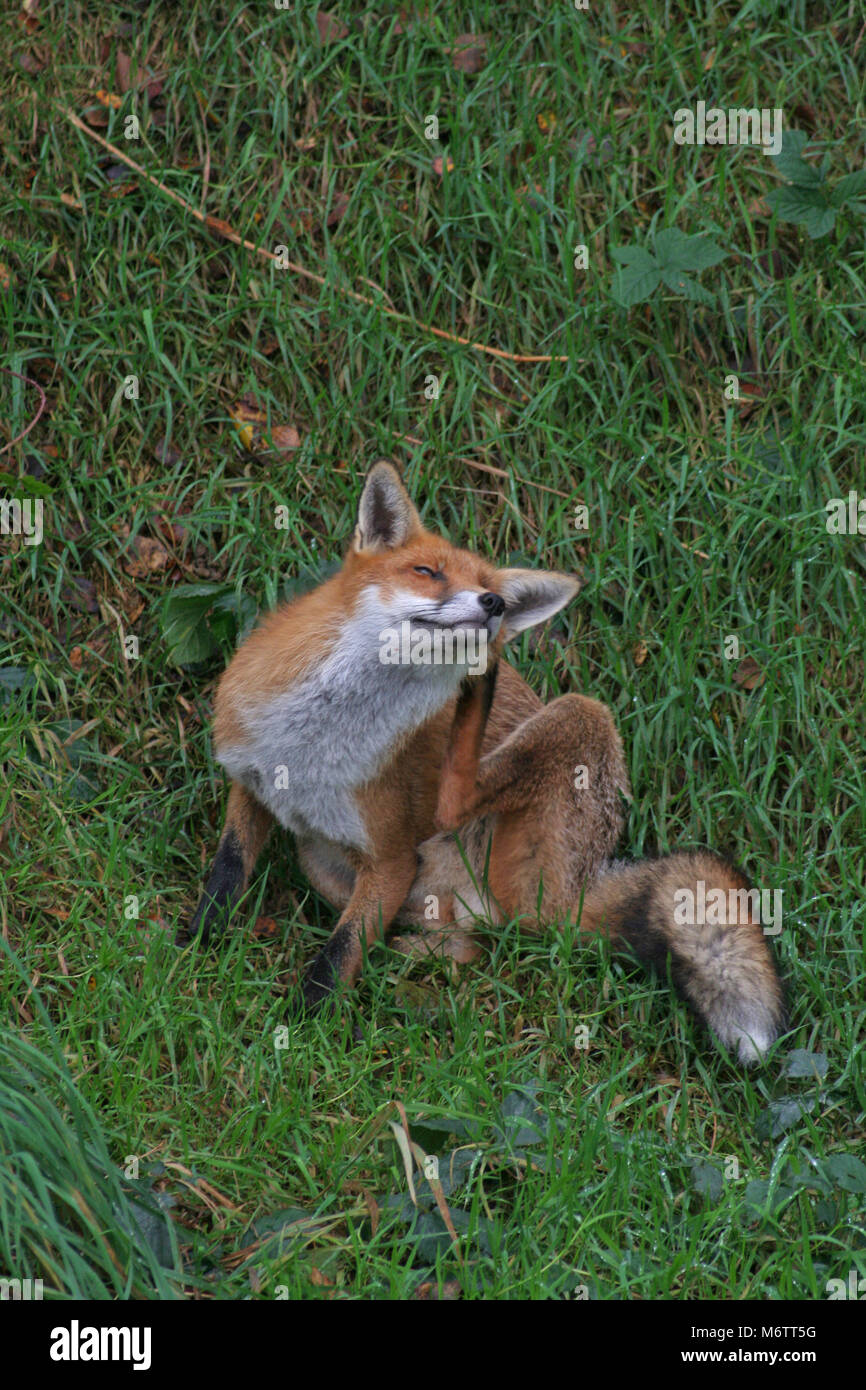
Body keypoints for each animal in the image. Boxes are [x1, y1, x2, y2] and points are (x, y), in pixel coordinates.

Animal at [180, 460, 786, 1064]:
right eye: (426, 571)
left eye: (493, 595)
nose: (493, 607)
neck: (315, 741)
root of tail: (584, 884)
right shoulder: (252, 783)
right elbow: (228, 871)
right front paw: (197, 943)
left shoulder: (390, 857)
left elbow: (341, 951)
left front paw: (306, 1026)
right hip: (323, 862)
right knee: (473, 941)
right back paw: (413, 951)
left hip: (577, 725)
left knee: (461, 814)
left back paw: (481, 686)